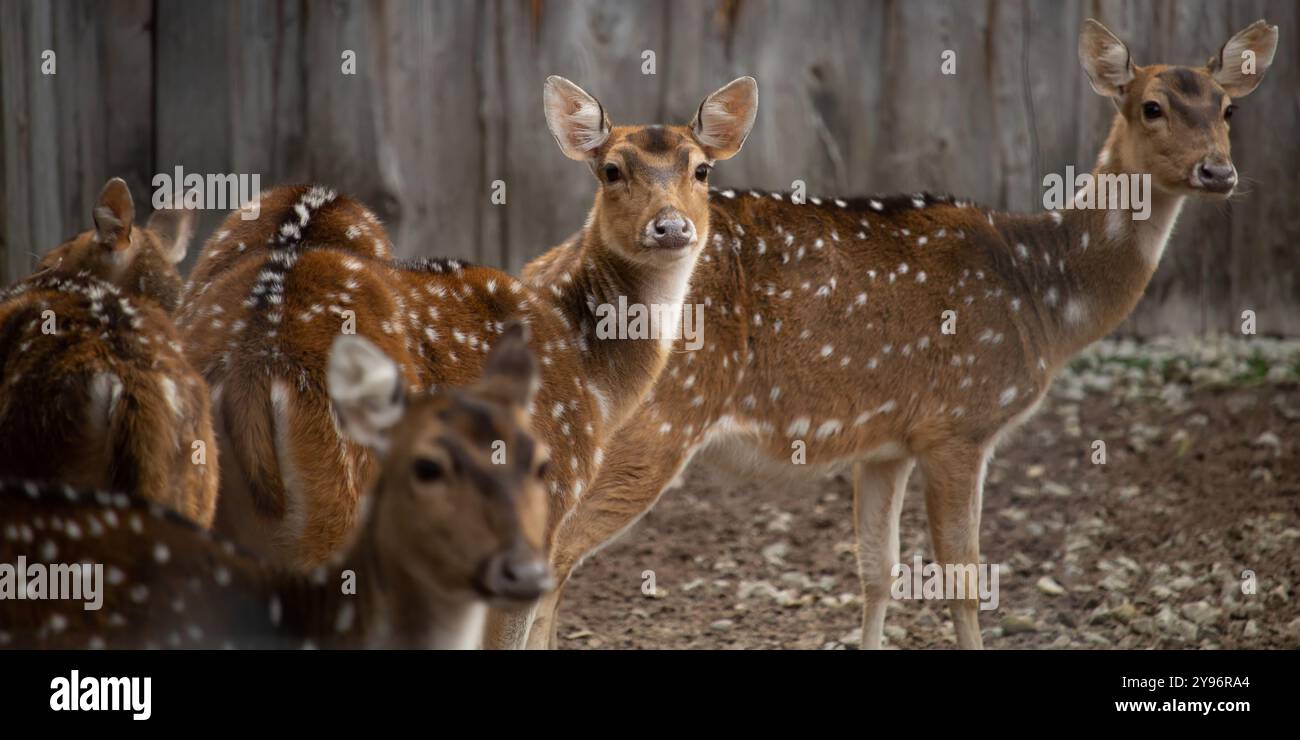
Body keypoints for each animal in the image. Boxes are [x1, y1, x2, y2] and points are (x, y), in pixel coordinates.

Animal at [177, 79, 759, 648]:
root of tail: (254, 362)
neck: (593, 376)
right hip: (338, 497)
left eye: (701, 169)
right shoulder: (543, 502)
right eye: (612, 169)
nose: (670, 227)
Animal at [519, 20, 1279, 649]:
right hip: (652, 423)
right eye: (1151, 105)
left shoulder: (885, 442)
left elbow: (877, 571)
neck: (1041, 295)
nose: (1218, 171)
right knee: (553, 557)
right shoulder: (960, 421)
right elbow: (965, 578)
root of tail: (539, 272)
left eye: (1228, 108)